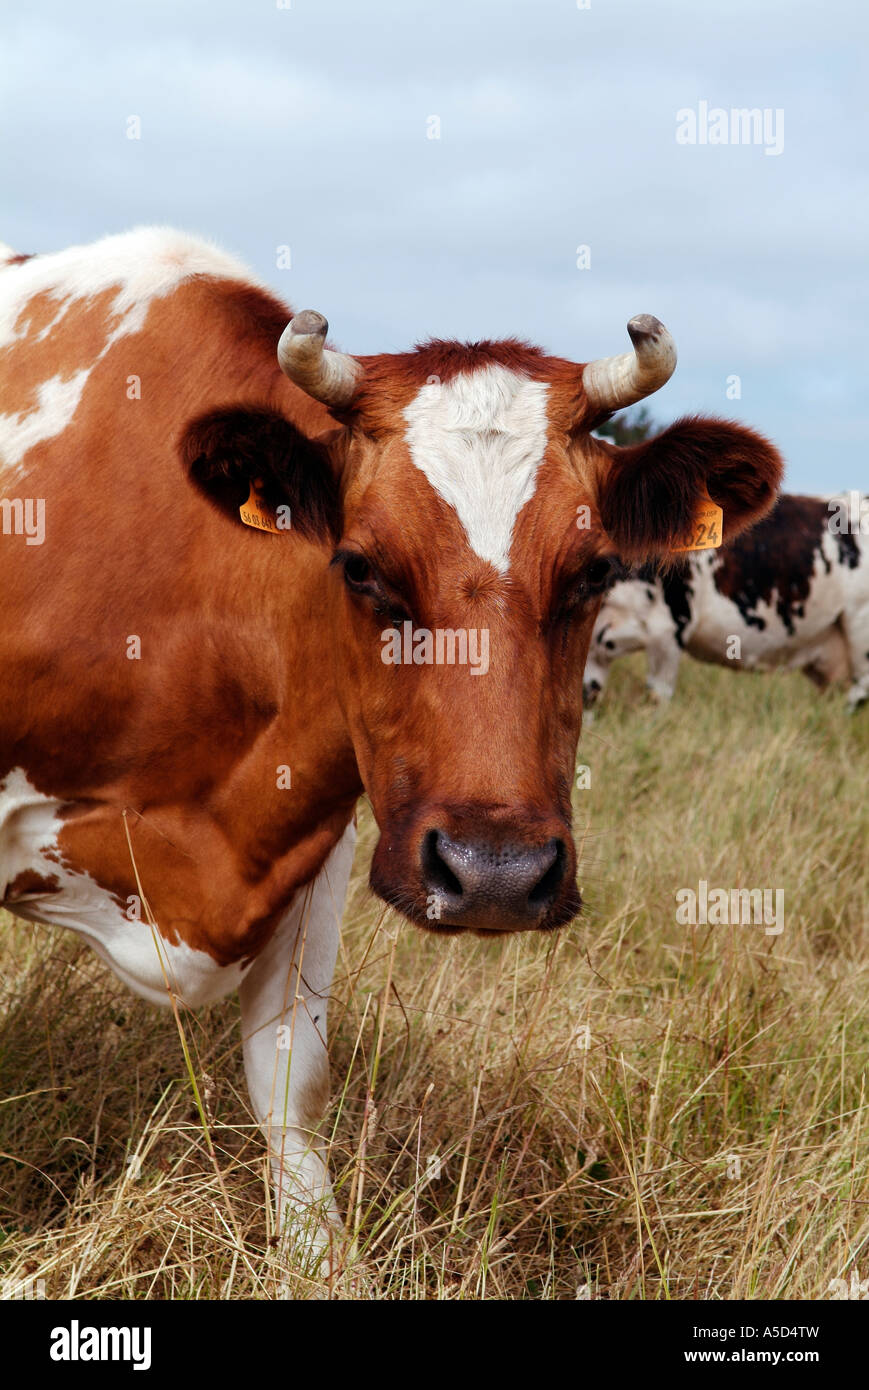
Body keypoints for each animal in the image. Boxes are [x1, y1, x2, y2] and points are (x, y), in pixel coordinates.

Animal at [0, 227, 783, 1269]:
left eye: (593, 572)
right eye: (362, 566)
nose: (497, 874)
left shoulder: (317, 837)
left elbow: (291, 1077)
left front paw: (316, 1259)